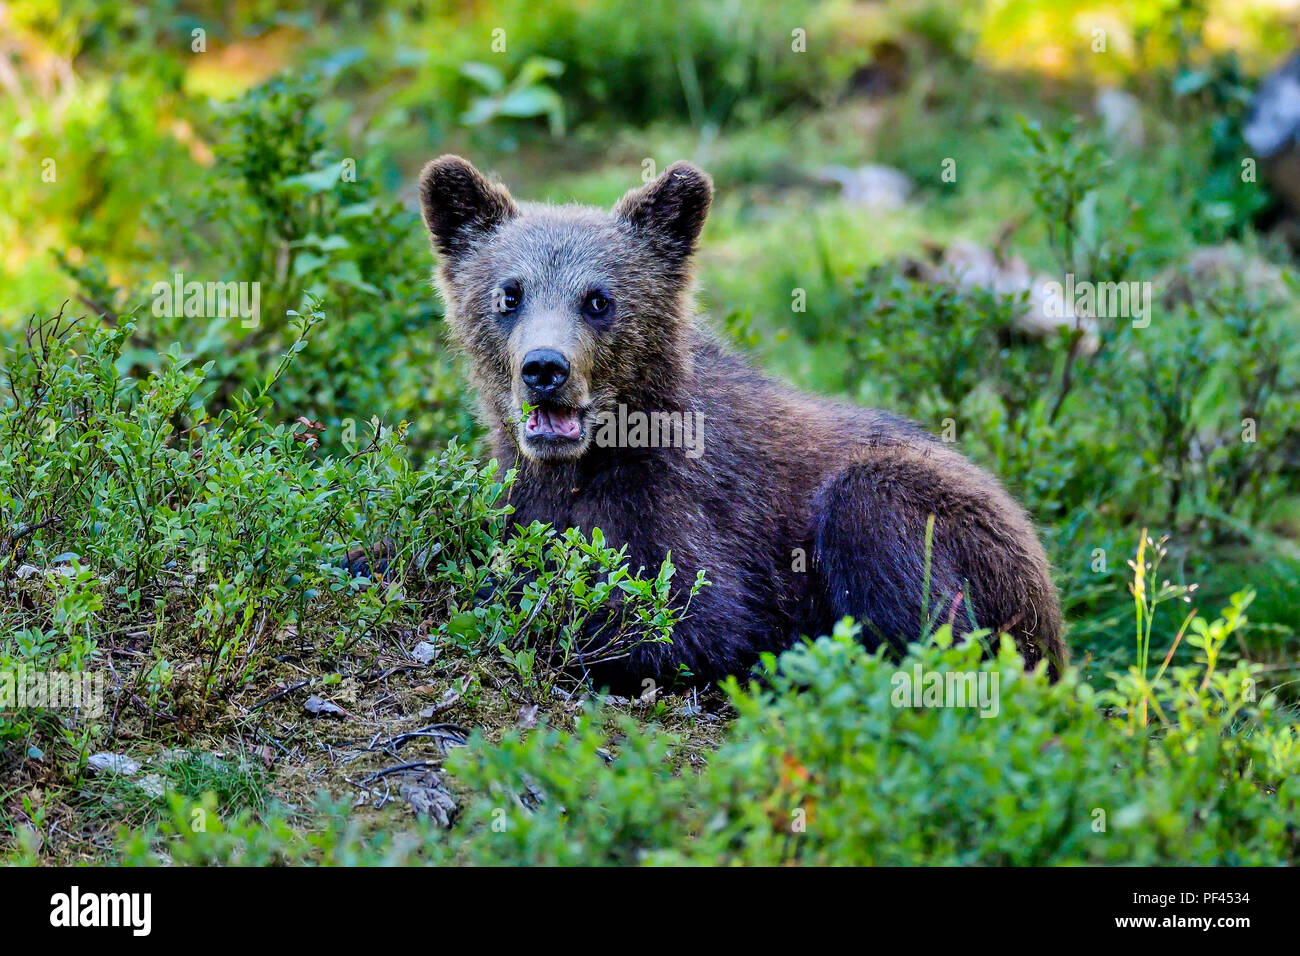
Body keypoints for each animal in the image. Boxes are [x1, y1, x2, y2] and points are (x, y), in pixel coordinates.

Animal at [413, 154, 1066, 690]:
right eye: (509, 293)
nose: (545, 367)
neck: (590, 461)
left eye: (598, 299)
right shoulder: (525, 499)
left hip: (960, 540)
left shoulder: (690, 512)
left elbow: (688, 621)